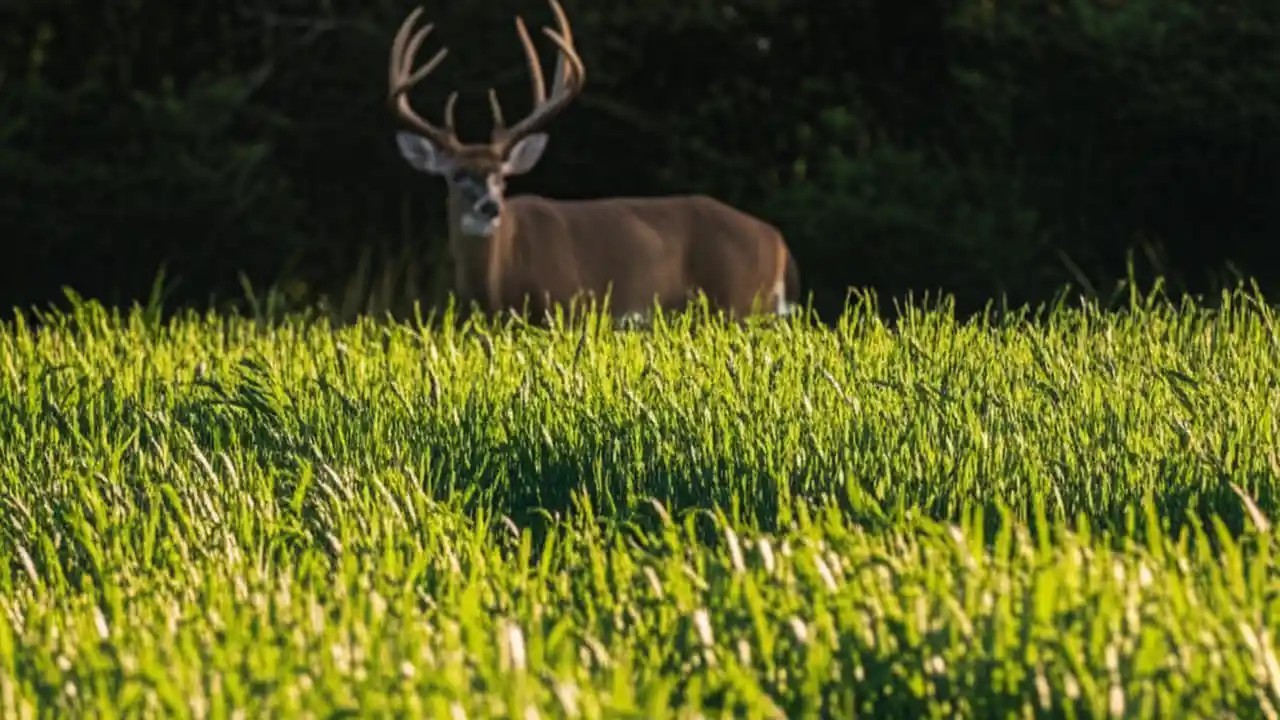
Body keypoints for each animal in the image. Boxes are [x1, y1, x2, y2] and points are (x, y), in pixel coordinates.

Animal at [388, 0, 800, 324]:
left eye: (502, 178)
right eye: (456, 175)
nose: (490, 207)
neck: (499, 280)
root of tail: (777, 240)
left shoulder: (569, 304)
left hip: (741, 302)